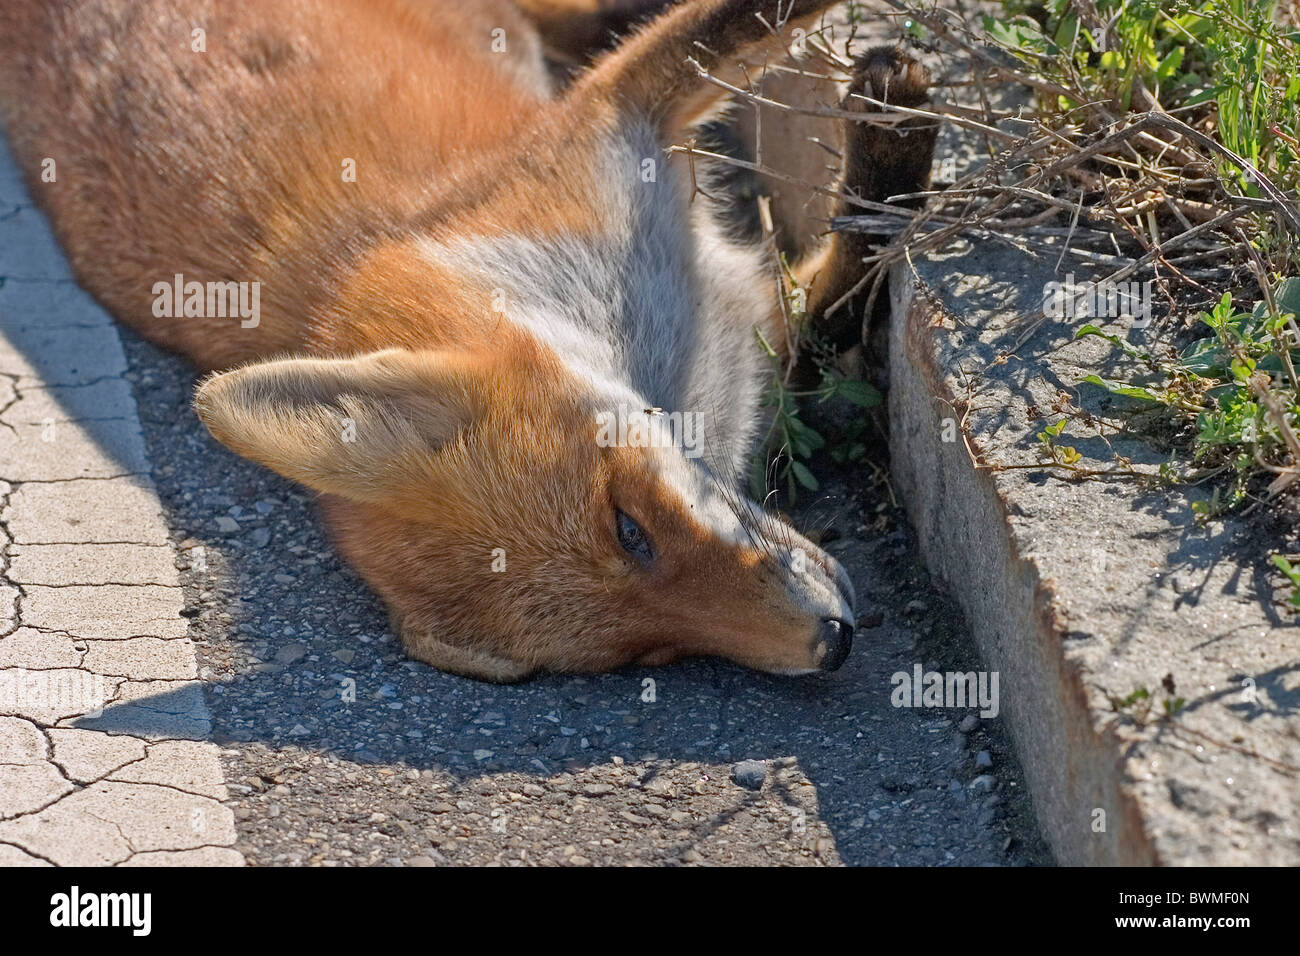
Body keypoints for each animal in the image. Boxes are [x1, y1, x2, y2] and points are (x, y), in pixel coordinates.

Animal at [0, 0, 936, 681]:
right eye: (647, 652)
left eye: (627, 527)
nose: (834, 640)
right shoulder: (758, 334)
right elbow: (841, 304)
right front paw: (892, 160)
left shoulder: (610, 121)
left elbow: (738, 20)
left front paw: (892, 120)